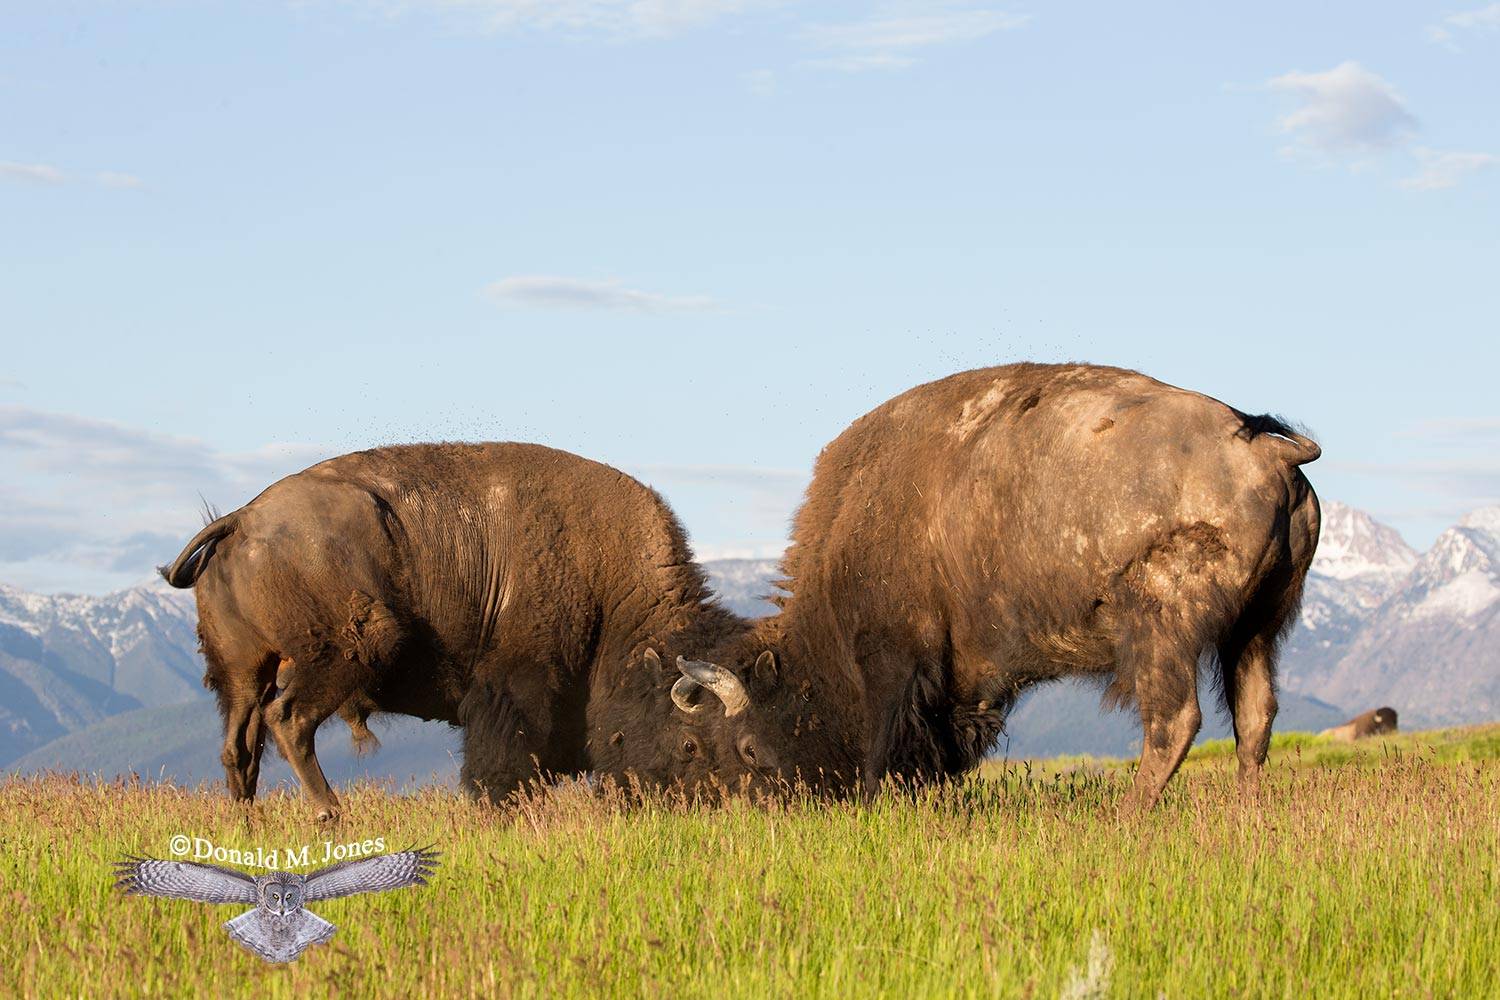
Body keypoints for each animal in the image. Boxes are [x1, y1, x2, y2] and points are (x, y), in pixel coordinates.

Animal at [160, 442, 761, 819]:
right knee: (288, 720)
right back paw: (331, 813)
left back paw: (247, 824)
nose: (701, 806)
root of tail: (242, 518)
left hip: (242, 671)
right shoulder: (516, 686)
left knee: (240, 746)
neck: (611, 590)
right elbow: (503, 759)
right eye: (690, 742)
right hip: (350, 649)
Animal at [674, 363, 1322, 812]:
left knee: (1174, 719)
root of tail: (1264, 448)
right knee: (1254, 718)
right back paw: (1245, 816)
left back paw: (1126, 819)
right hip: (1258, 630)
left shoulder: (893, 663)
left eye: (749, 747)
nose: (757, 810)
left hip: (1163, 627)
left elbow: (884, 747)